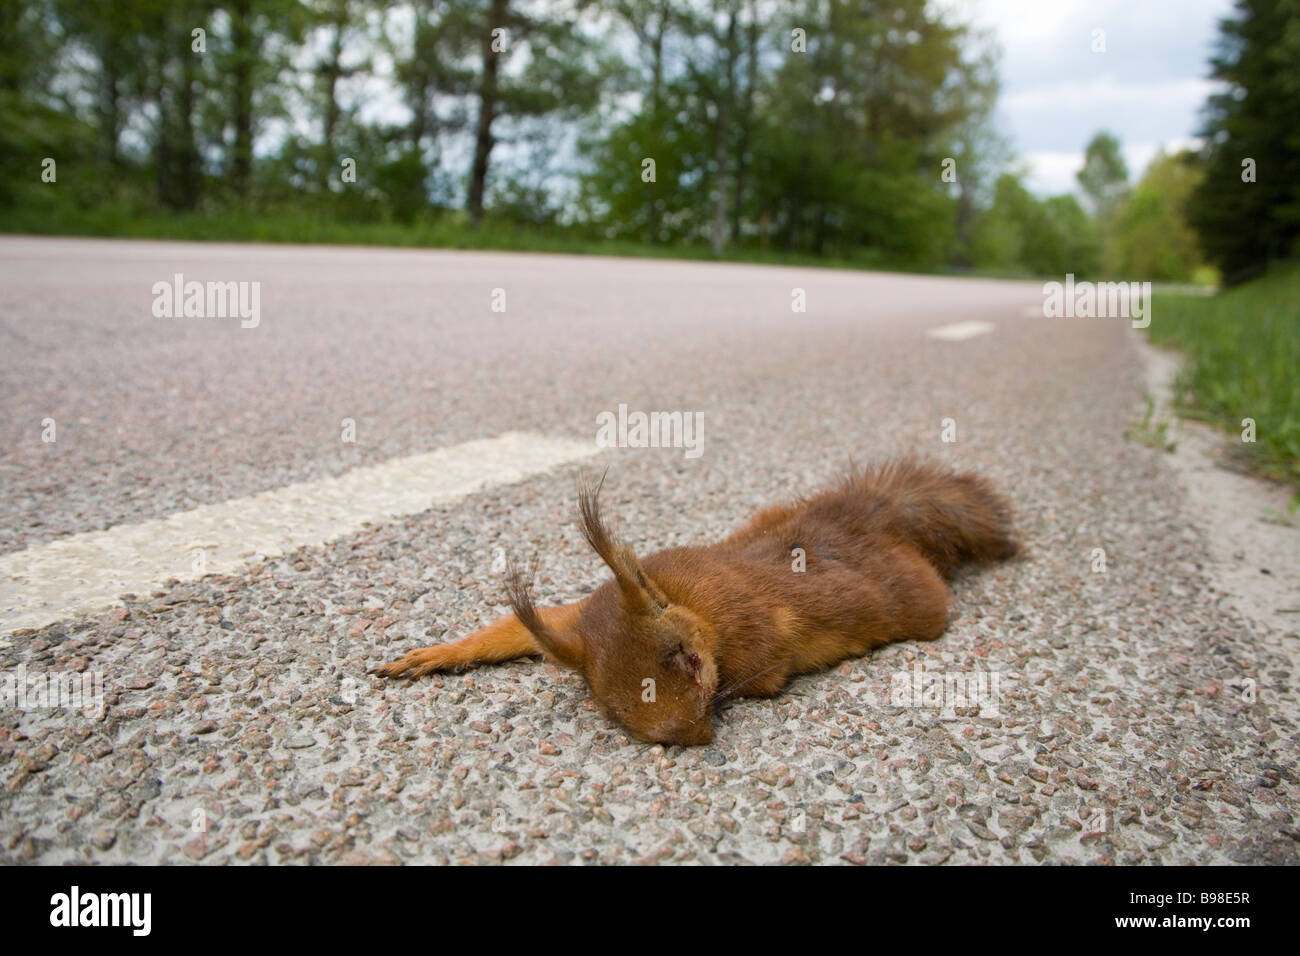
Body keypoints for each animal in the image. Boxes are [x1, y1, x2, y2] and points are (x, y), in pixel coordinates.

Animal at [376, 459, 1020, 746]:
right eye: (610, 709)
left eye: (688, 660)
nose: (692, 738)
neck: (686, 600)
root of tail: (863, 524)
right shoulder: (574, 619)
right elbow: (515, 630)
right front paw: (431, 655)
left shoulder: (754, 633)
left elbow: (764, 674)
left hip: (915, 600)